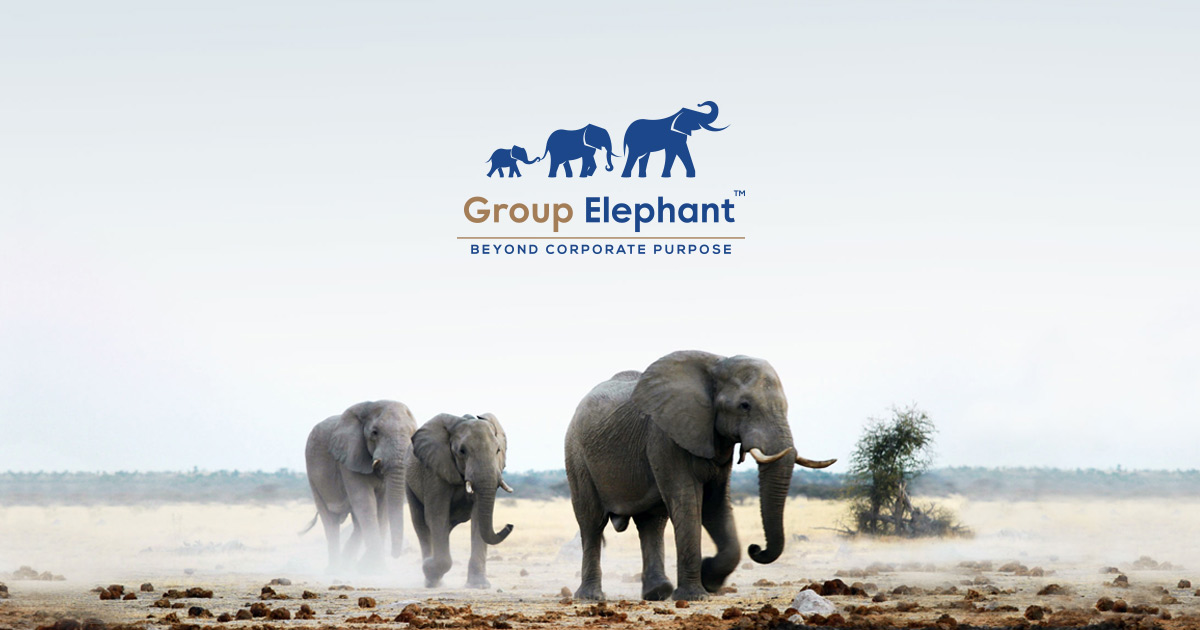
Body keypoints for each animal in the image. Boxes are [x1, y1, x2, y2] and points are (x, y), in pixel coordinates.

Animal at [302, 400, 417, 573]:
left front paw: (368, 567)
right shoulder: (348, 457)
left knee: (356, 523)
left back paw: (347, 565)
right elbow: (365, 502)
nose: (395, 555)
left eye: (413, 434)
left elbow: (382, 507)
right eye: (375, 433)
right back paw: (334, 569)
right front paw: (377, 569)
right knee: (330, 520)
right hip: (313, 476)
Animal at [406, 413, 515, 589]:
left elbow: (478, 518)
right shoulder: (434, 472)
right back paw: (431, 579)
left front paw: (479, 586)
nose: (509, 525)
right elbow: (437, 516)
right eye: (462, 451)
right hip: (408, 483)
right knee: (421, 525)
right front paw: (428, 567)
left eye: (498, 450)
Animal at [563, 350, 836, 602]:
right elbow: (687, 501)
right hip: (576, 454)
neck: (717, 363)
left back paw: (657, 592)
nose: (756, 548)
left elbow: (714, 504)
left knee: (652, 522)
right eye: (744, 406)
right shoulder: (664, 437)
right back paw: (591, 597)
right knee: (591, 522)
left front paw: (709, 579)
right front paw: (694, 595)